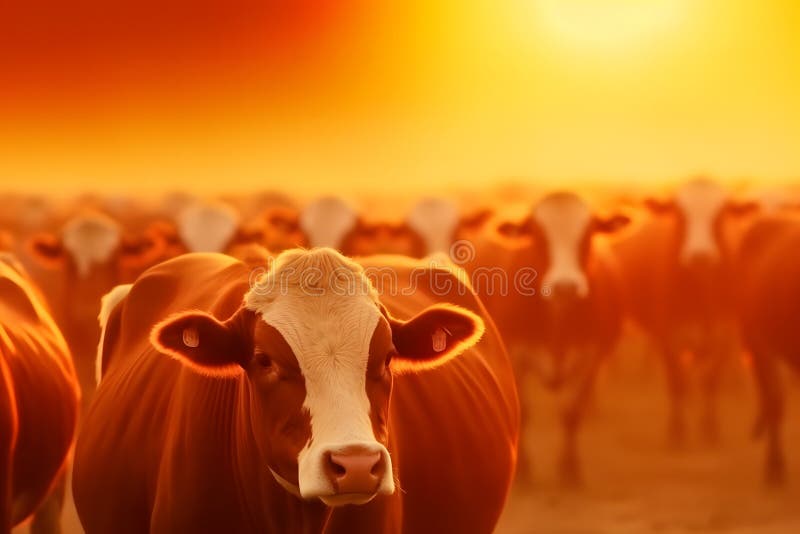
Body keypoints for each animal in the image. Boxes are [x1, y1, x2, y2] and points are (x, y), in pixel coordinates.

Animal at [466, 191, 630, 486]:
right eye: (539, 236)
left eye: (588, 235)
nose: (565, 287)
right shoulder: (515, 355)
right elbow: (525, 411)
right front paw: (523, 471)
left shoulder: (590, 358)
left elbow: (571, 413)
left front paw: (570, 469)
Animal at [613, 177, 758, 447]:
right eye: (680, 216)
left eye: (719, 216)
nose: (700, 256)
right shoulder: (666, 333)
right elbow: (677, 382)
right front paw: (677, 432)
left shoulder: (726, 333)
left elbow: (710, 381)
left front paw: (710, 429)